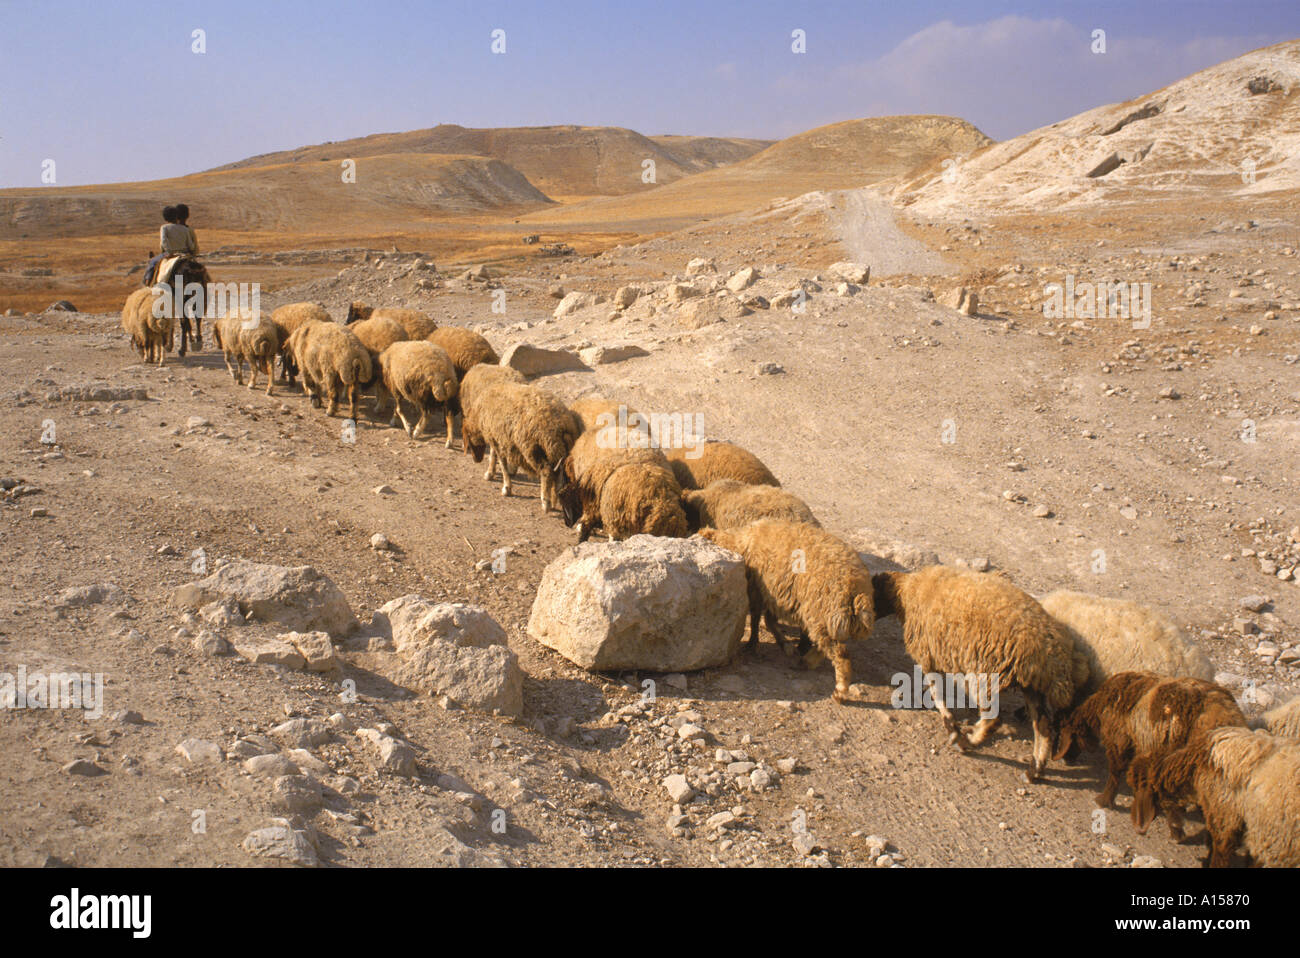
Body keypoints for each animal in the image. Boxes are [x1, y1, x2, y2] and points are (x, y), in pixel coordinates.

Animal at [461, 381, 581, 512]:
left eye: (468, 441)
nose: (476, 460)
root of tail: (562, 424)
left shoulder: (497, 439)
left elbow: (502, 463)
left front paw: (506, 488)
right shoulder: (496, 436)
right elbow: (493, 455)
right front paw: (490, 473)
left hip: (533, 447)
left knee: (546, 471)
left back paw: (546, 502)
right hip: (558, 450)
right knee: (559, 474)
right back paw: (556, 500)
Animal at [699, 520, 875, 704]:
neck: (740, 543)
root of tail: (859, 590)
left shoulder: (756, 590)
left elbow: (756, 619)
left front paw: (753, 643)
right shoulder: (773, 595)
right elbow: (769, 620)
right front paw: (783, 643)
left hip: (822, 612)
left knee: (841, 654)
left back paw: (839, 691)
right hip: (825, 618)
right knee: (827, 647)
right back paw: (806, 661)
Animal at [872, 565, 1091, 780]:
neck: (908, 591)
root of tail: (1052, 656)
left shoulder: (927, 653)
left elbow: (937, 693)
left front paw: (952, 728)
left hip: (985, 676)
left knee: (994, 720)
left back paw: (967, 742)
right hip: (1031, 686)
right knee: (1043, 727)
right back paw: (1033, 770)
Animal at [1053, 671, 1246, 839]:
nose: (1067, 760)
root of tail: (1216, 717)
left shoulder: (1118, 740)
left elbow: (1115, 771)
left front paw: (1104, 800)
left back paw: (1175, 831)